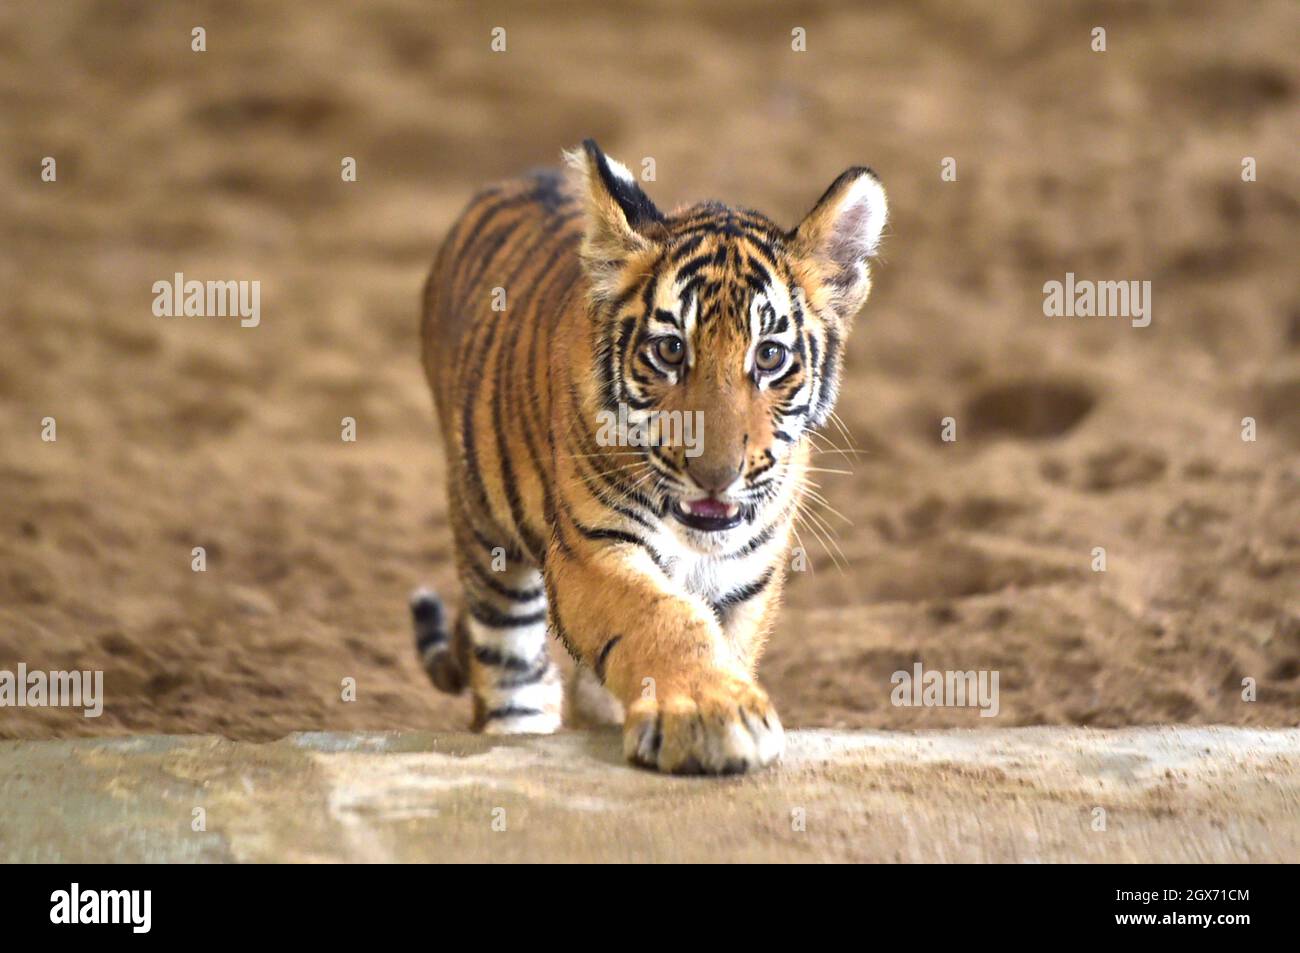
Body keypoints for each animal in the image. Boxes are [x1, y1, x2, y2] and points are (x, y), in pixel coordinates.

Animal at [413, 140, 887, 774]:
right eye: (670, 350)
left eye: (769, 356)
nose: (716, 476)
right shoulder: (591, 549)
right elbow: (661, 617)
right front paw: (711, 713)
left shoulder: (748, 576)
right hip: (486, 542)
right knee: (511, 674)